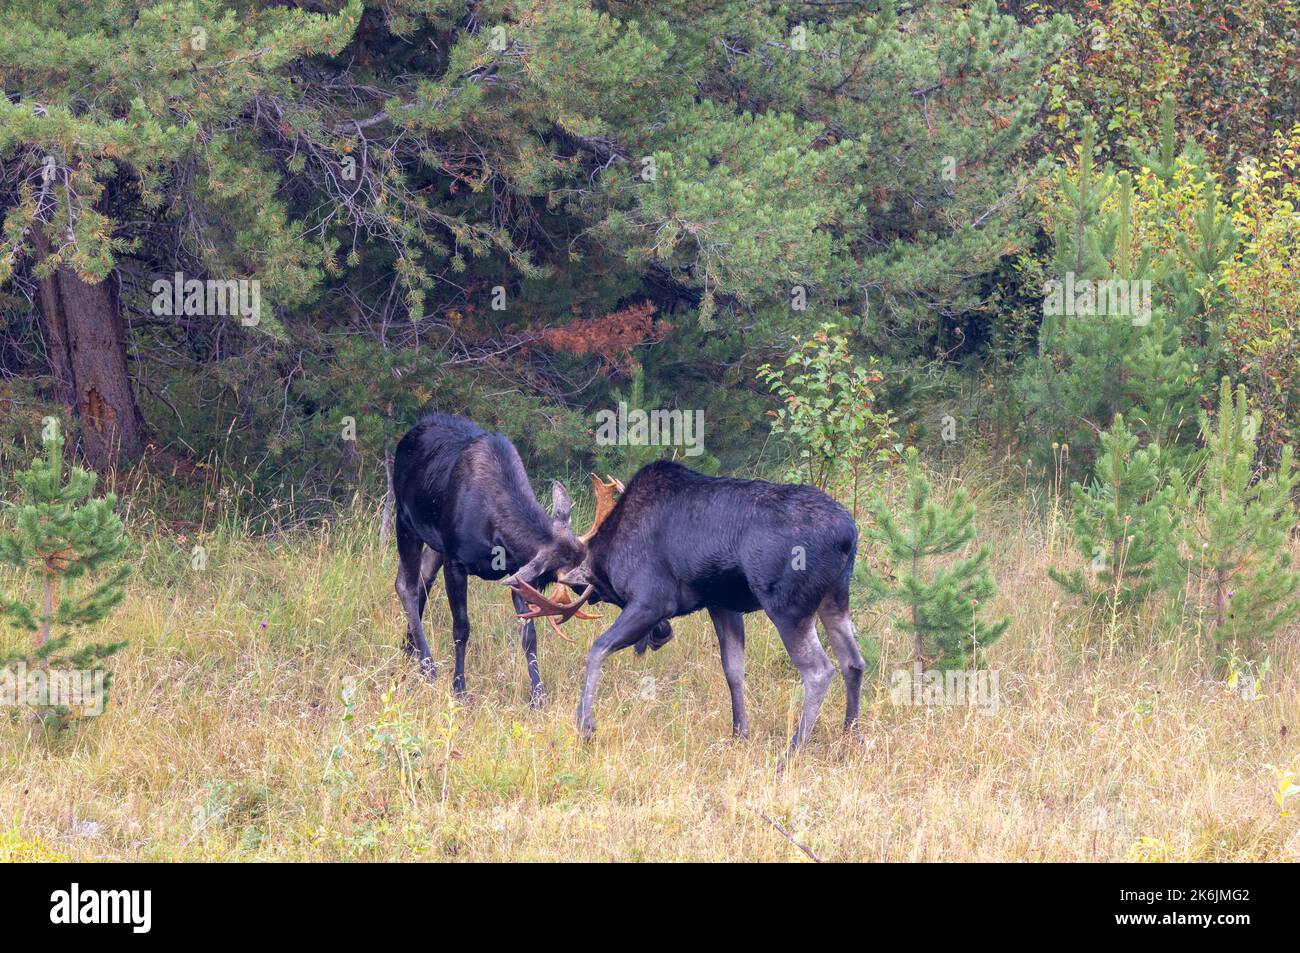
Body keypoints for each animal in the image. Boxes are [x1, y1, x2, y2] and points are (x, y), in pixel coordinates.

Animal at [392, 413, 621, 704]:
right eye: (573, 576)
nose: (604, 589)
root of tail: (407, 436)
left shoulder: (518, 571)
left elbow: (529, 635)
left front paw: (538, 696)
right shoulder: (456, 561)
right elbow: (461, 628)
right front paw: (459, 689)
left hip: (435, 542)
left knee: (422, 580)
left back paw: (410, 651)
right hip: (405, 520)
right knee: (406, 586)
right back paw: (427, 666)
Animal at [508, 459, 863, 753]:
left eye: (583, 587)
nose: (661, 634)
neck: (610, 553)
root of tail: (849, 533)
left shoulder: (651, 600)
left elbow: (597, 648)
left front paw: (585, 724)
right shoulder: (721, 604)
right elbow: (733, 669)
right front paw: (739, 733)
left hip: (787, 605)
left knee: (819, 670)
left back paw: (793, 751)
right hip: (836, 597)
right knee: (853, 661)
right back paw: (850, 735)